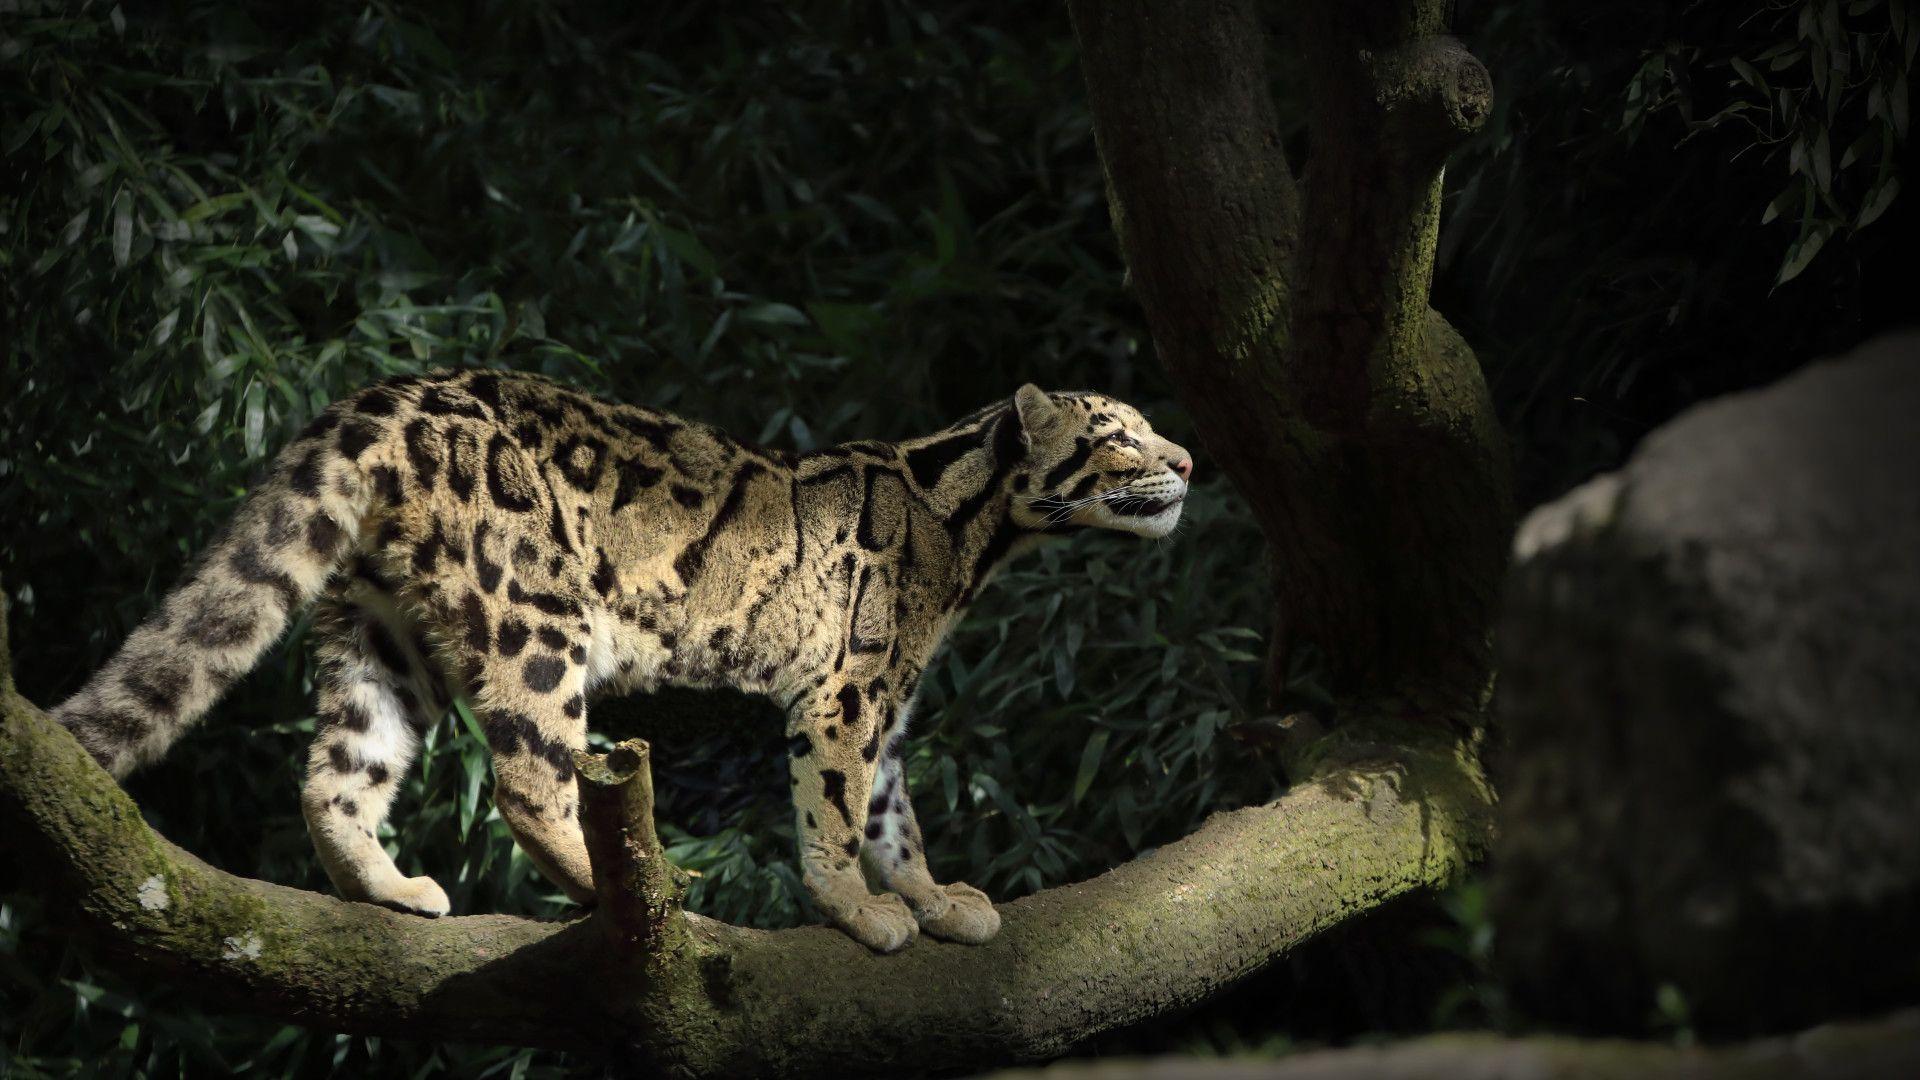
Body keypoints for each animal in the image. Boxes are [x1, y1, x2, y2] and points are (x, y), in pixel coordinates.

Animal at [51, 370, 1193, 952]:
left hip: (383, 630)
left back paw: (389, 888)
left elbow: (892, 816)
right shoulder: (847, 693)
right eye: (1119, 436)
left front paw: (933, 897)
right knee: (526, 782)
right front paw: (861, 911)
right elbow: (834, 813)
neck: (974, 536)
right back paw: (637, 884)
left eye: (1151, 429)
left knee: (337, 773)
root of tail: (392, 393)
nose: (1185, 458)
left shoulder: (889, 703)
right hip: (536, 621)